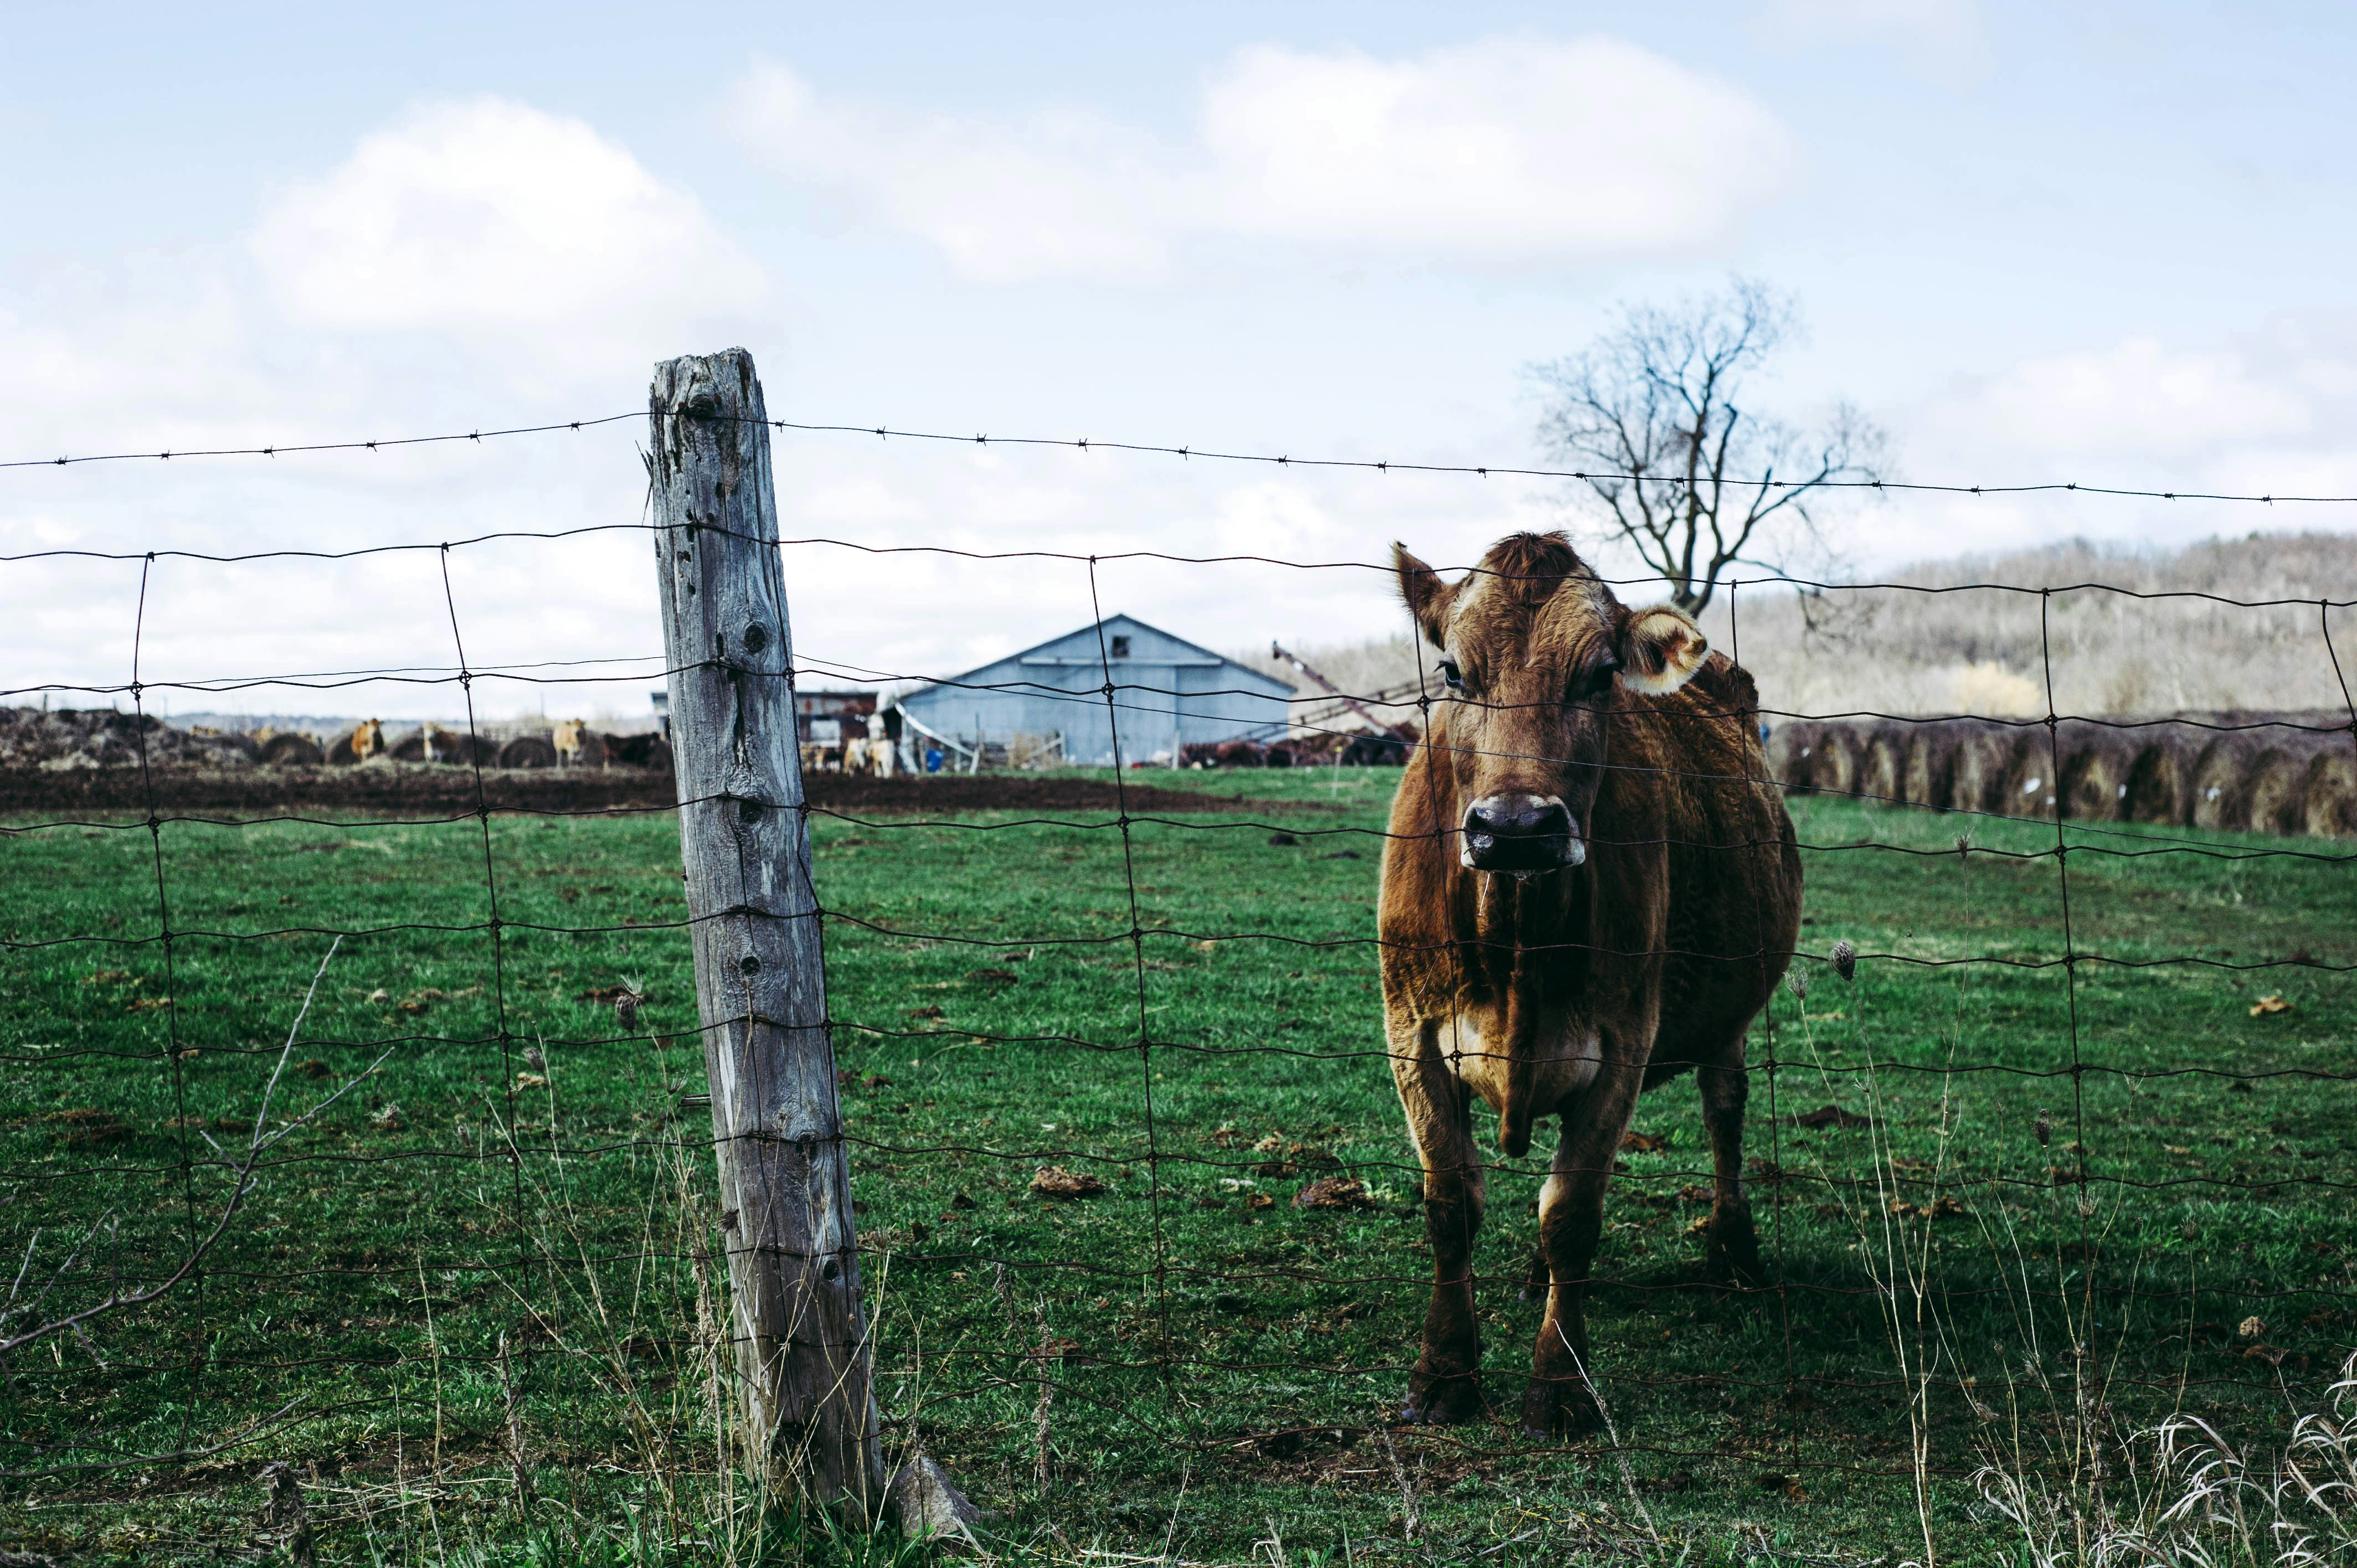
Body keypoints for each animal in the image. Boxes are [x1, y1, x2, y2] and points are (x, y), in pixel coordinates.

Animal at [1377, 531, 1800, 1436]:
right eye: (1454, 672)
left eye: (1600, 674)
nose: (1516, 828)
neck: (1516, 945)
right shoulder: (1411, 1034)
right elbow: (1450, 1202)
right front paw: (1444, 1374)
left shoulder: (1622, 1043)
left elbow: (1572, 1213)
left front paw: (1560, 1388)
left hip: (1729, 1018)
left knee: (1725, 1111)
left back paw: (1733, 1250)